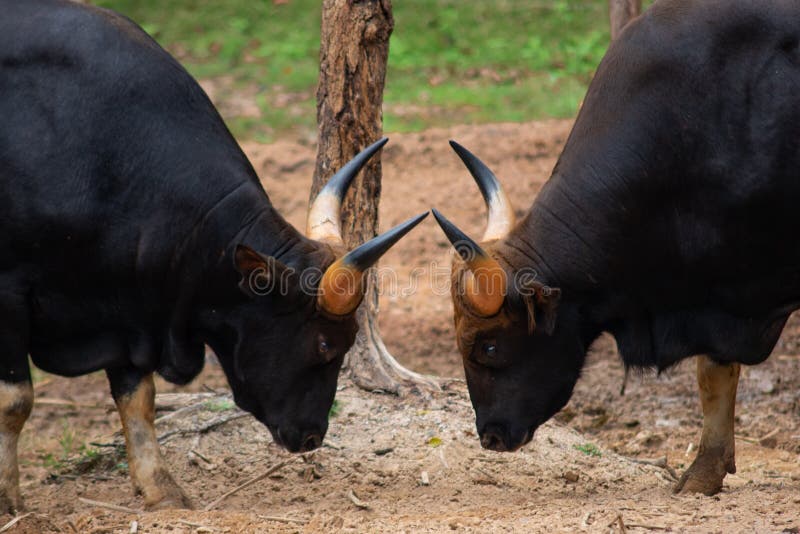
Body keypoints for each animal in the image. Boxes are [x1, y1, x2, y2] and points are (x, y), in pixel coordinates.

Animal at [0, 0, 427, 512]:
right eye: (325, 344)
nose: (312, 436)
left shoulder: (126, 303)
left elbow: (138, 396)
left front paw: (160, 488)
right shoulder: (7, 291)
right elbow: (16, 400)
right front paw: (8, 498)